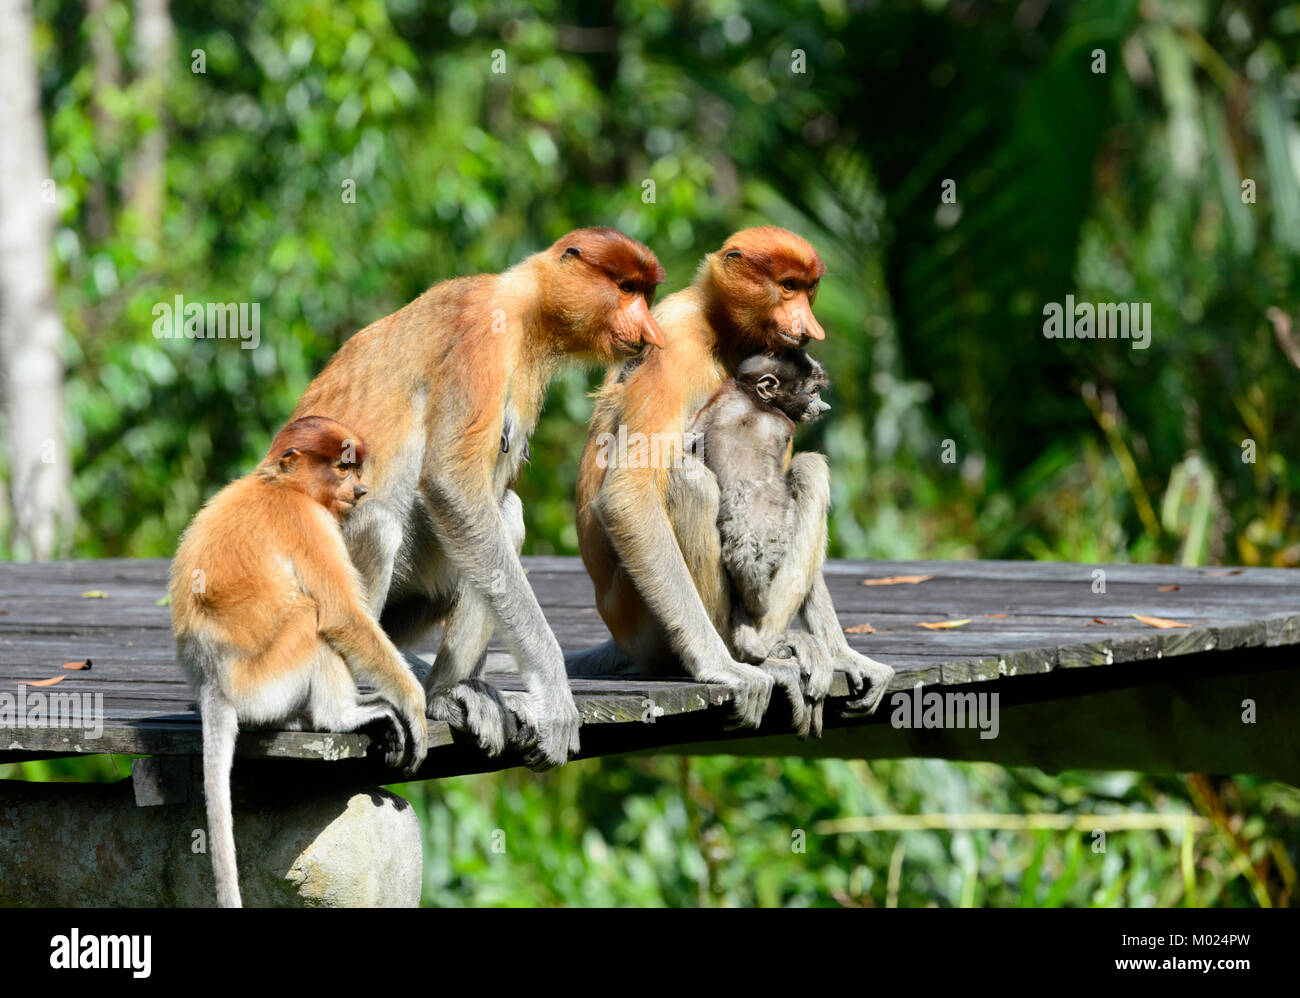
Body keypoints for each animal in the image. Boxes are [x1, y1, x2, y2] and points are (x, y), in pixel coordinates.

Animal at [170, 416, 429, 908]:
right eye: (343, 468)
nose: (359, 490)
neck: (279, 483)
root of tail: (213, 683)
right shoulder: (307, 520)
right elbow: (341, 615)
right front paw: (413, 704)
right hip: (266, 678)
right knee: (313, 618)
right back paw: (339, 717)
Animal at [287, 228, 666, 770]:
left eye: (645, 293)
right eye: (626, 287)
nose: (650, 330)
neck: (527, 309)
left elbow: (488, 503)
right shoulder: (483, 332)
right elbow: (453, 485)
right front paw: (556, 695)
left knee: (506, 515)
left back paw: (444, 694)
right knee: (380, 525)